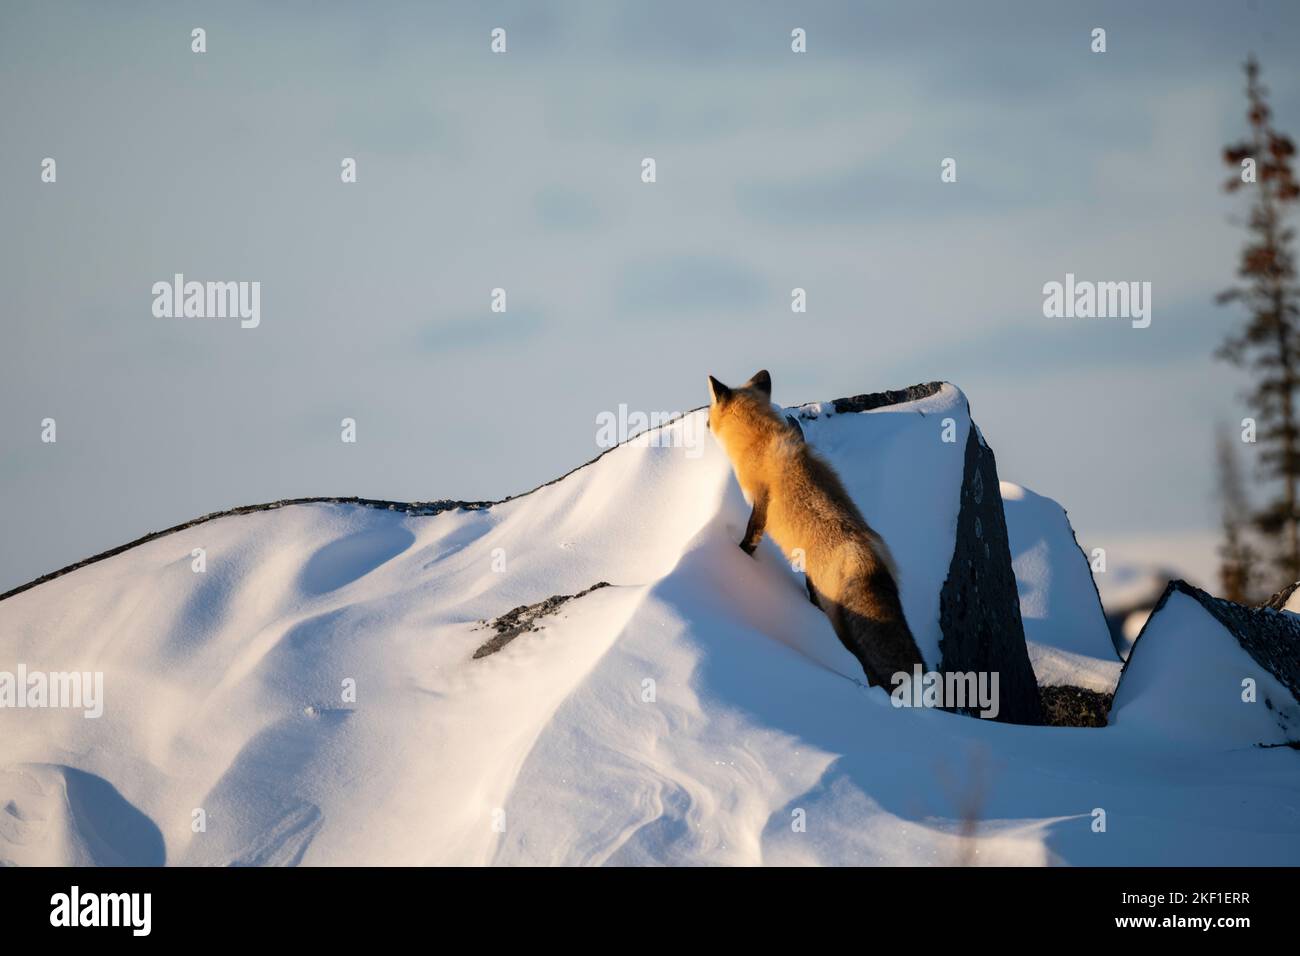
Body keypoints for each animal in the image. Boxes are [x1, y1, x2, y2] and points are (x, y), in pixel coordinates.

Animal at [706, 369, 924, 688]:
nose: (705, 423)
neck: (759, 439)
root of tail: (867, 558)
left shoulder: (760, 502)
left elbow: (750, 535)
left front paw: (741, 554)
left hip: (843, 627)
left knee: (867, 665)